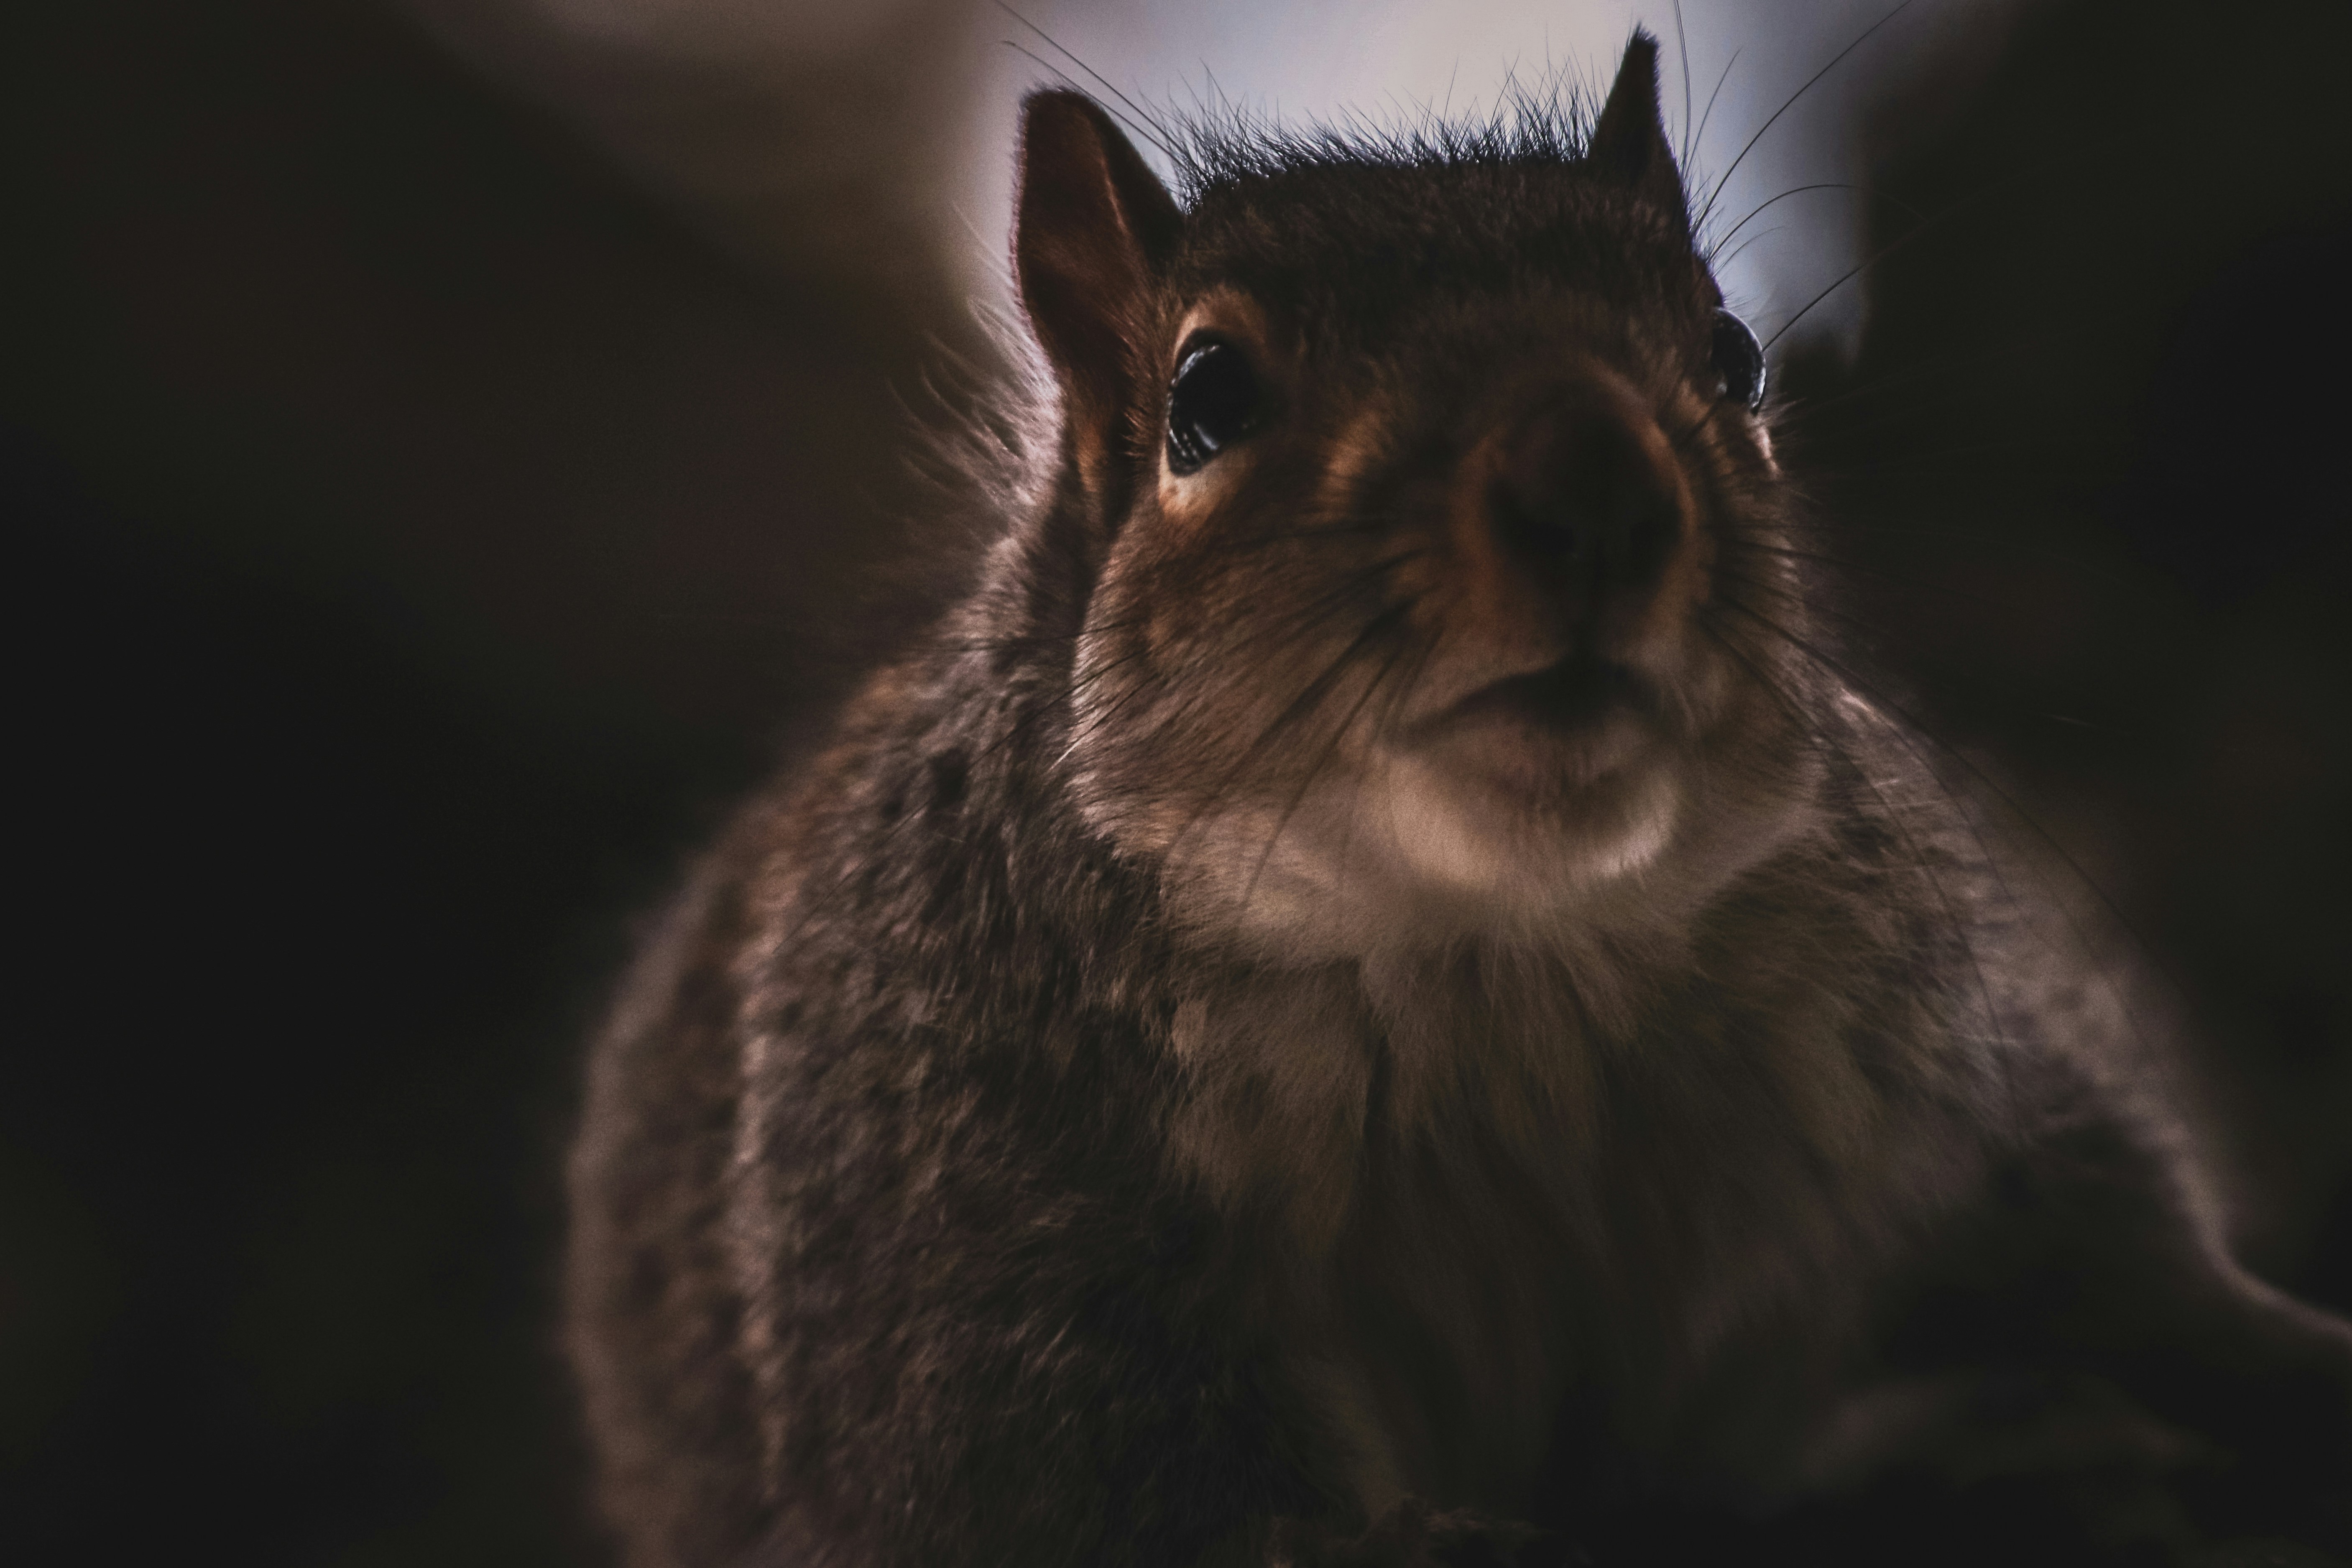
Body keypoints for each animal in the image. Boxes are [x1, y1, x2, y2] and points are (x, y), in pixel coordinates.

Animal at [564, 34, 2352, 1568]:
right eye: (1206, 399)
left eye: (1734, 359)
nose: (1598, 482)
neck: (1499, 950)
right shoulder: (978, 1289)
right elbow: (1149, 1507)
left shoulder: (1947, 1085)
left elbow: (2122, 1251)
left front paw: (2280, 1349)